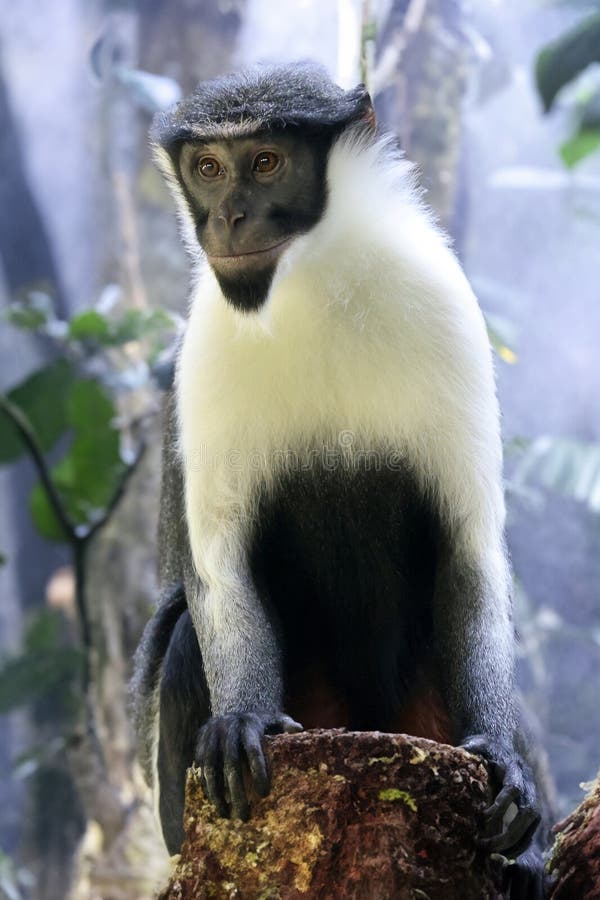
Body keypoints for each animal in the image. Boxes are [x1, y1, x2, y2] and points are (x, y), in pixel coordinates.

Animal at [130, 62, 544, 897]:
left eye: (266, 162)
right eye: (208, 167)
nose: (229, 217)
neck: (314, 285)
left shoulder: (448, 310)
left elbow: (470, 552)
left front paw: (506, 761)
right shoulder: (209, 348)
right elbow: (217, 566)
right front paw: (243, 722)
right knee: (184, 636)